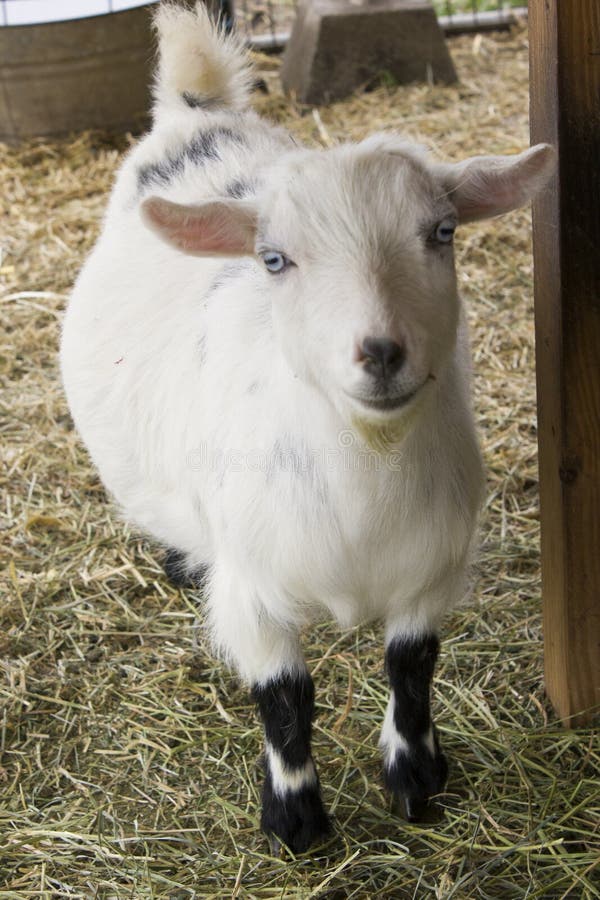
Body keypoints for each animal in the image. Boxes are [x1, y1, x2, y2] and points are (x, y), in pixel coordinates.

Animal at [60, 2, 555, 853]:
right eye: (274, 259)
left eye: (444, 232)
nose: (382, 352)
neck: (367, 458)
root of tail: (199, 111)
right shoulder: (252, 590)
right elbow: (286, 698)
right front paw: (294, 818)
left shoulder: (431, 566)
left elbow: (412, 666)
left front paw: (415, 777)